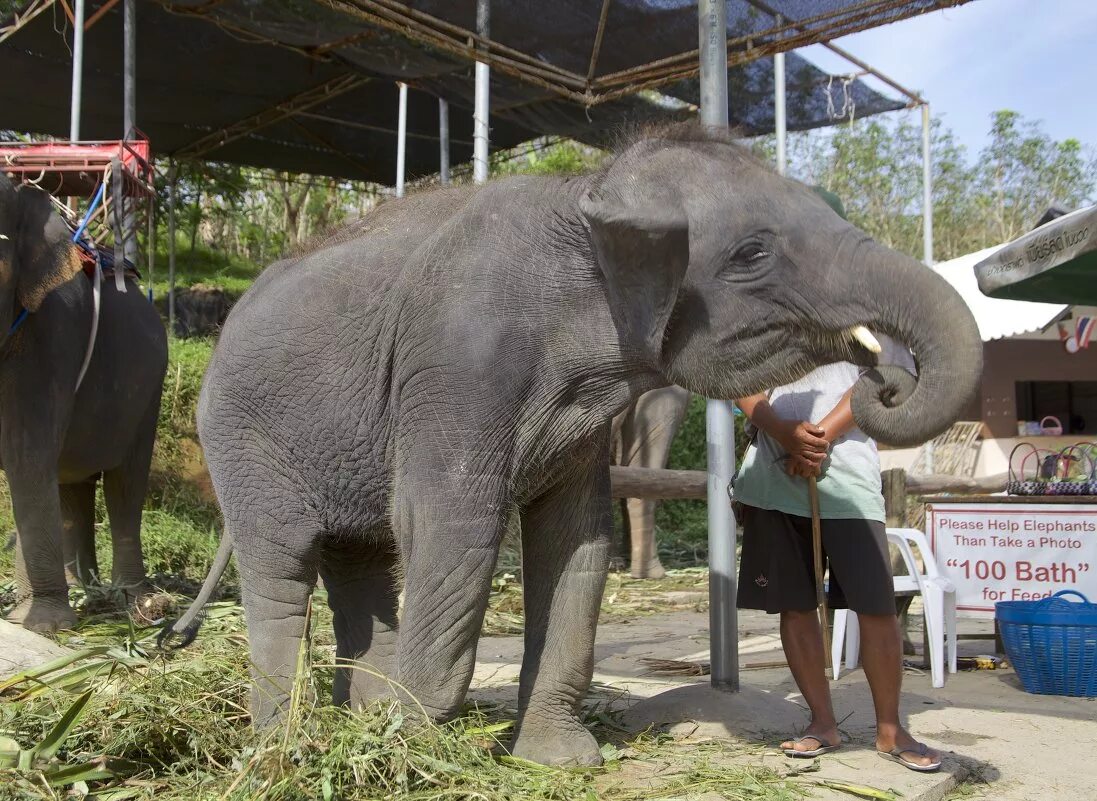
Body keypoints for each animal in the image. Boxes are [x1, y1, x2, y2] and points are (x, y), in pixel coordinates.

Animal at [0, 175, 168, 633]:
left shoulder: (51, 336)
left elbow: (26, 458)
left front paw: (39, 624)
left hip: (148, 397)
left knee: (124, 484)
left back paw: (132, 599)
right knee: (72, 483)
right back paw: (82, 588)